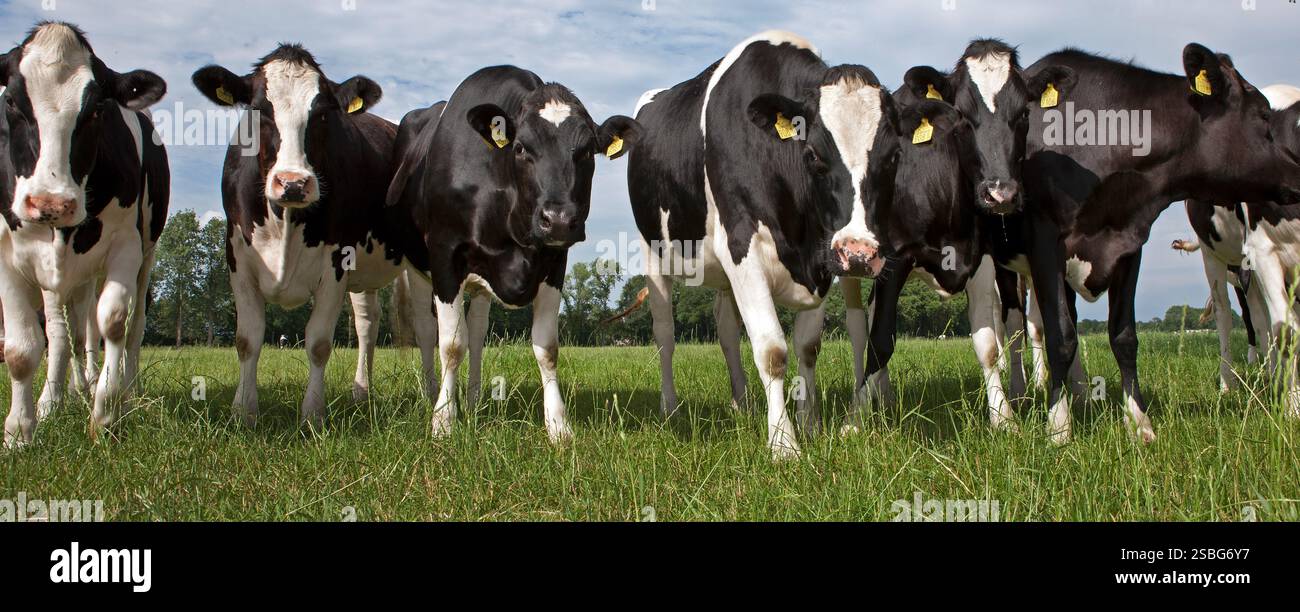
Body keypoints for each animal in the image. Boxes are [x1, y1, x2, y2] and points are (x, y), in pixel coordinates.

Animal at [1, 22, 169, 447]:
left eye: (96, 109)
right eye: (10, 101)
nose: (51, 203)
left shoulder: (127, 245)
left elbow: (113, 320)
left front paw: (106, 412)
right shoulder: (7, 254)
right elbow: (22, 349)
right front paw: (19, 431)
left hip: (146, 254)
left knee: (130, 328)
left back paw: (126, 390)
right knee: (68, 334)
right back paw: (61, 396)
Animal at [191, 44, 438, 431]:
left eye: (322, 115)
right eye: (258, 110)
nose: (293, 183)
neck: (286, 222)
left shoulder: (335, 265)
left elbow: (319, 342)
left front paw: (312, 415)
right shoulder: (238, 262)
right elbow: (247, 339)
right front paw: (243, 412)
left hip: (413, 260)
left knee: (426, 328)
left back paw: (429, 393)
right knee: (367, 324)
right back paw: (361, 393)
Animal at [386, 66, 640, 443]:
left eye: (586, 151)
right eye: (521, 148)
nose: (559, 220)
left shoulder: (554, 262)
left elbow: (546, 347)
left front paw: (558, 426)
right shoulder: (445, 255)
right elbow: (451, 345)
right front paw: (443, 421)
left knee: (477, 333)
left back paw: (474, 399)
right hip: (416, 268)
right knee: (427, 331)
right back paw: (433, 395)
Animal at [626, 31, 901, 458]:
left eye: (894, 157)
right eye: (813, 156)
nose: (859, 253)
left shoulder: (822, 263)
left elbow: (808, 347)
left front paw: (810, 424)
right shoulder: (743, 248)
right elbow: (772, 351)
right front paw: (784, 444)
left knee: (725, 330)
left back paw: (741, 404)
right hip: (653, 254)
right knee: (665, 335)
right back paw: (670, 409)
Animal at [1015, 45, 1300, 444]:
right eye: (1262, 114)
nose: (1298, 175)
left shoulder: (1128, 245)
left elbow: (1123, 336)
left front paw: (1138, 422)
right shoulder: (1044, 245)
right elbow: (1061, 335)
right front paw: (1058, 426)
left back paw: (1082, 391)